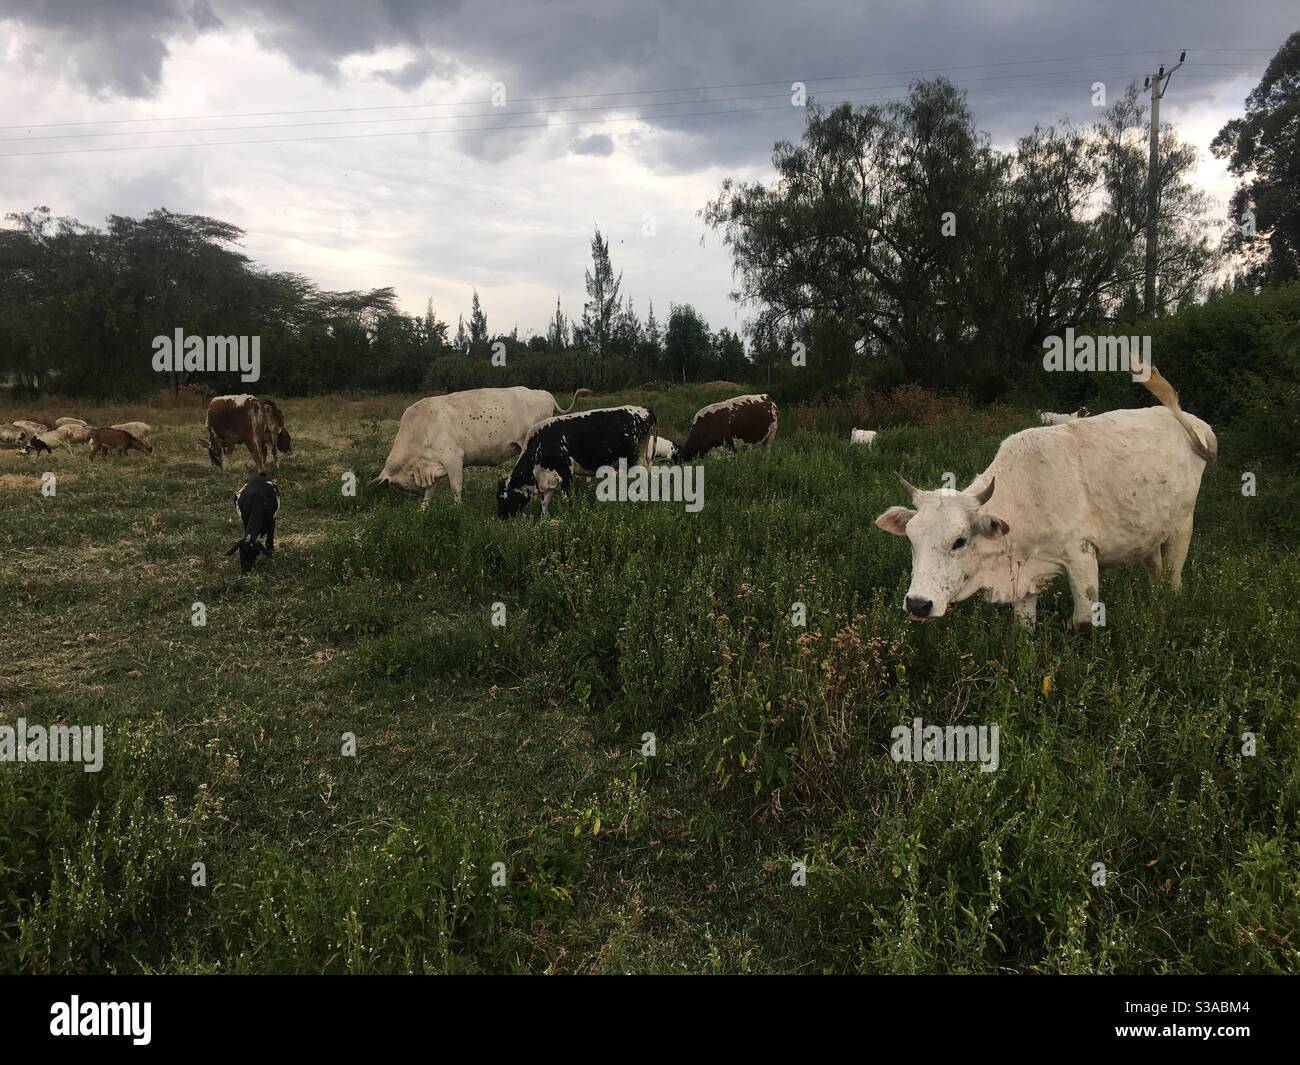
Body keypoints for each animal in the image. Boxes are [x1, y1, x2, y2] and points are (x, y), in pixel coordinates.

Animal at [376, 387, 593, 508]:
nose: (415, 493)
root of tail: (542, 393)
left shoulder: (453, 458)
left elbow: (456, 488)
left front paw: (457, 510)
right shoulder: (433, 466)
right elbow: (430, 493)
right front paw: (422, 511)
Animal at [497, 405, 656, 519]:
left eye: (503, 498)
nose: (501, 518)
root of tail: (644, 410)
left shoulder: (565, 471)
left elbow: (568, 498)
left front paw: (571, 515)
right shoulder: (547, 476)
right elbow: (545, 502)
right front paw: (544, 519)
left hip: (632, 458)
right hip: (641, 457)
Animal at [874, 368, 1214, 632]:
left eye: (959, 541)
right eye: (911, 539)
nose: (918, 604)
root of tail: (1195, 423)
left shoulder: (1082, 560)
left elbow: (1083, 625)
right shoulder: (1024, 576)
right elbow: (1024, 629)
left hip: (1182, 529)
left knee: (1172, 582)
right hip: (1149, 535)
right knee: (1155, 575)